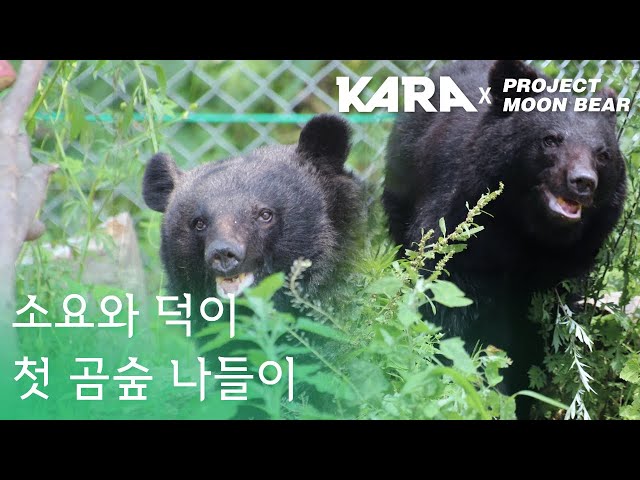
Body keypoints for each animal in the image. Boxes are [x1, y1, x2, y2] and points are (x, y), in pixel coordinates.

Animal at [383, 60, 627, 418]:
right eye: (550, 139)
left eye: (603, 154)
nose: (583, 182)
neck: (527, 231)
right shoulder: (463, 224)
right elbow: (451, 301)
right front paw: (474, 387)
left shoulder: (568, 264)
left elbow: (541, 332)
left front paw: (522, 396)